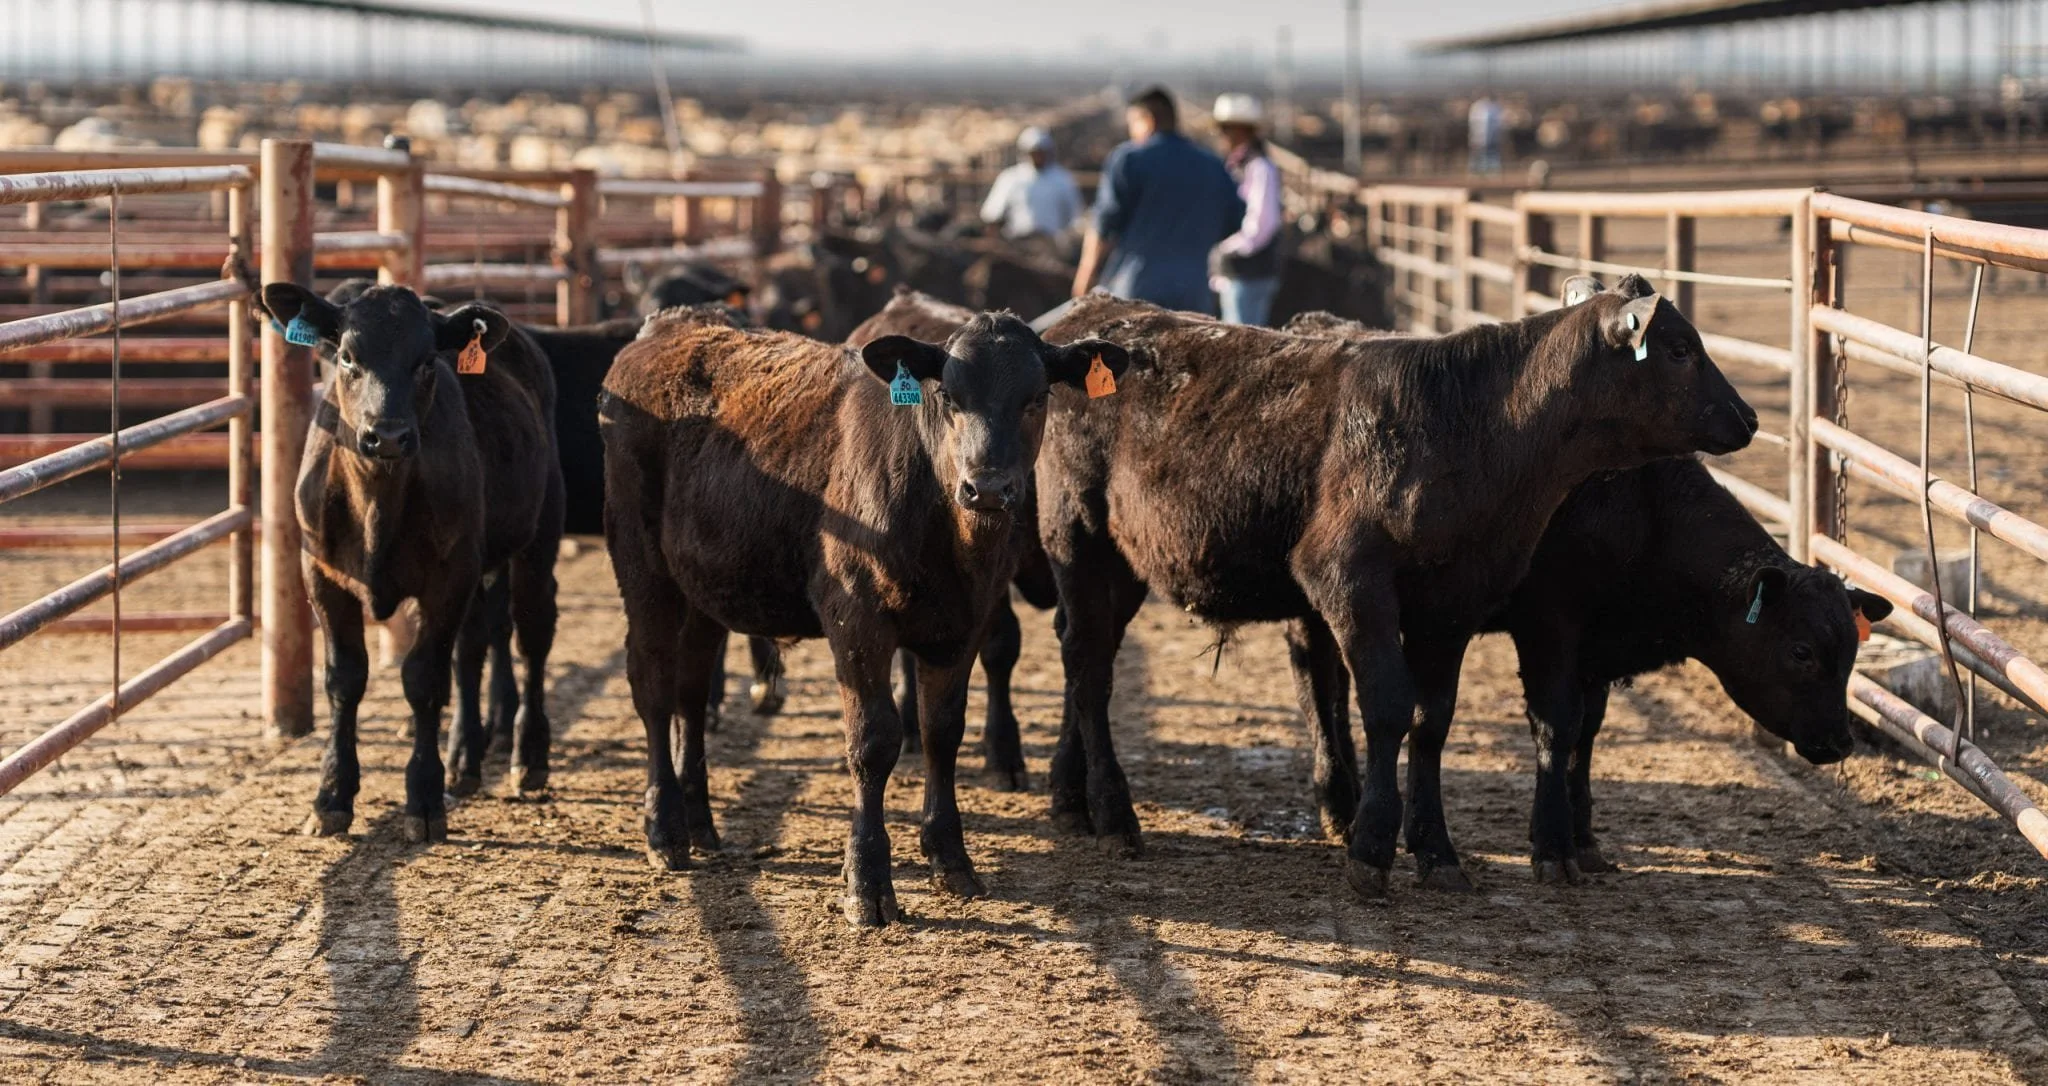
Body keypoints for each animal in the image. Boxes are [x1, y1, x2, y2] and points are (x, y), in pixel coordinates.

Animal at [262, 282, 564, 842]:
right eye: (346, 356)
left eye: (426, 361)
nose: (387, 434)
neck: (376, 503)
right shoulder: (321, 576)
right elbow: (344, 679)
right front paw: (331, 795)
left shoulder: (447, 579)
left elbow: (423, 680)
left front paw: (423, 798)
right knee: (475, 645)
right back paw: (465, 756)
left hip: (538, 536)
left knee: (531, 635)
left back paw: (528, 755)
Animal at [1034, 277, 1757, 900]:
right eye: (1679, 348)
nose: (1747, 417)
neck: (1472, 424)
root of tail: (1085, 318)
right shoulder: (1349, 578)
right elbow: (1383, 705)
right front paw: (1372, 848)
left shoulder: (1454, 601)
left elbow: (1430, 721)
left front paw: (1436, 850)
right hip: (1077, 537)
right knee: (1090, 668)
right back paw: (1113, 813)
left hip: (1123, 563)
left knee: (1084, 655)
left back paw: (1074, 800)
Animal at [1284, 310, 1893, 881]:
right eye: (1801, 651)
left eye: (1852, 653)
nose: (1841, 742)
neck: (1637, 506)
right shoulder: (1550, 626)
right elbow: (1557, 726)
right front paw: (1553, 844)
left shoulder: (1596, 649)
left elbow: (1587, 732)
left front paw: (1584, 839)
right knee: (1318, 684)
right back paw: (1339, 802)